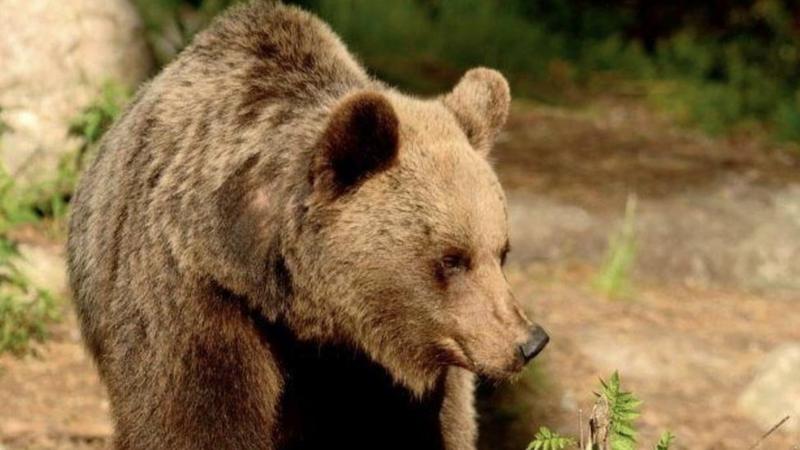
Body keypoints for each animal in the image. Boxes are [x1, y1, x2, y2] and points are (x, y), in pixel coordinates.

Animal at [66, 2, 549, 449]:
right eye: (452, 259)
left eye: (501, 251)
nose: (529, 342)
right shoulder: (193, 296)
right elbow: (192, 420)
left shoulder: (381, 373)